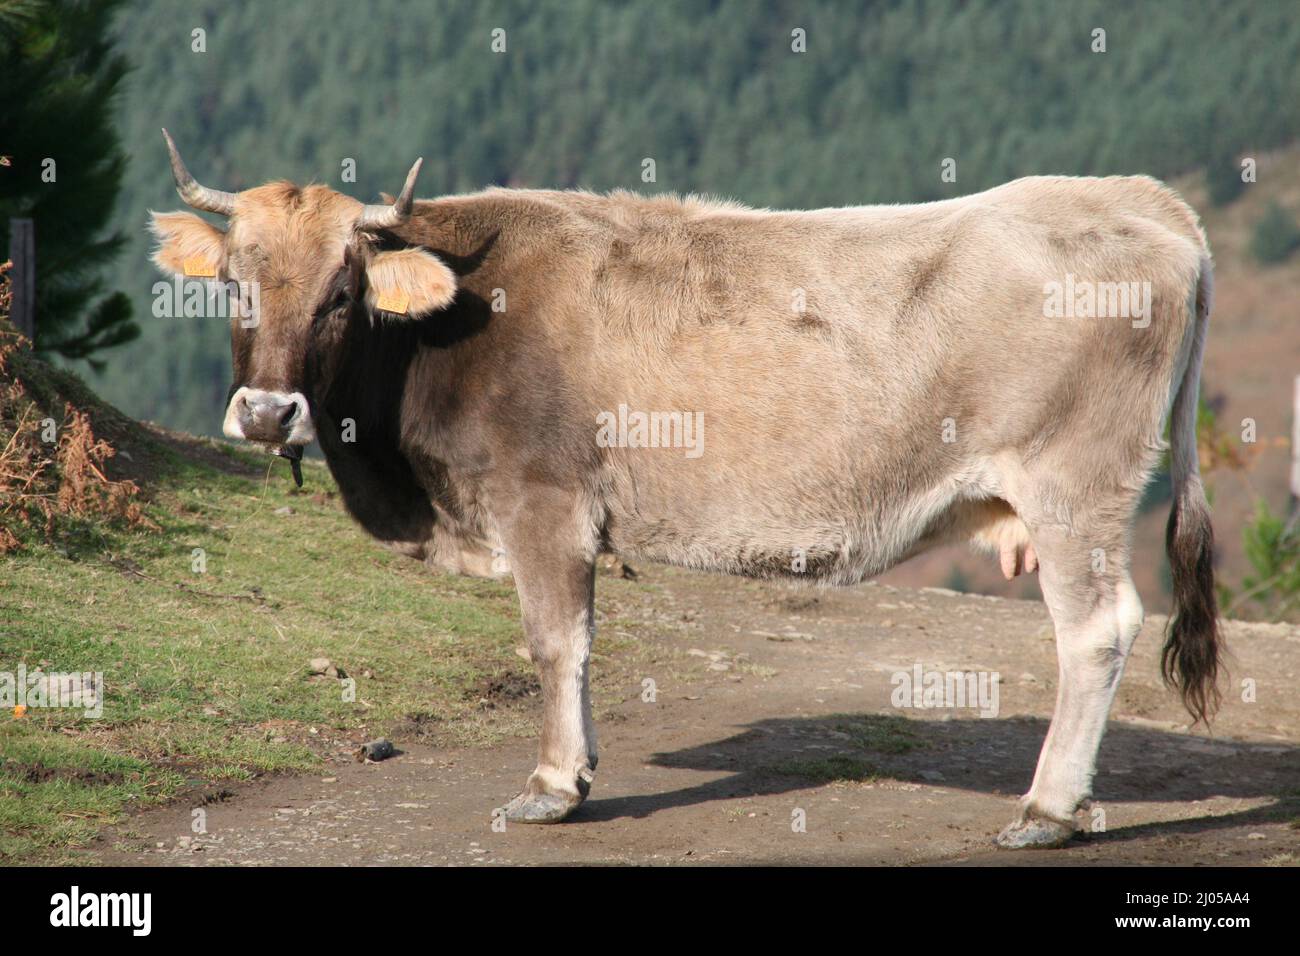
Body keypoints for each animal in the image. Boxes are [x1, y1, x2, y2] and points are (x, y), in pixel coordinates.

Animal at [151, 129, 1221, 848]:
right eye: (235, 284)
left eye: (341, 293)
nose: (267, 414)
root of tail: (1145, 201)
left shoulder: (544, 504)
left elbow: (556, 644)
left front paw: (553, 784)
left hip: (1072, 487)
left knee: (1097, 631)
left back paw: (1047, 807)